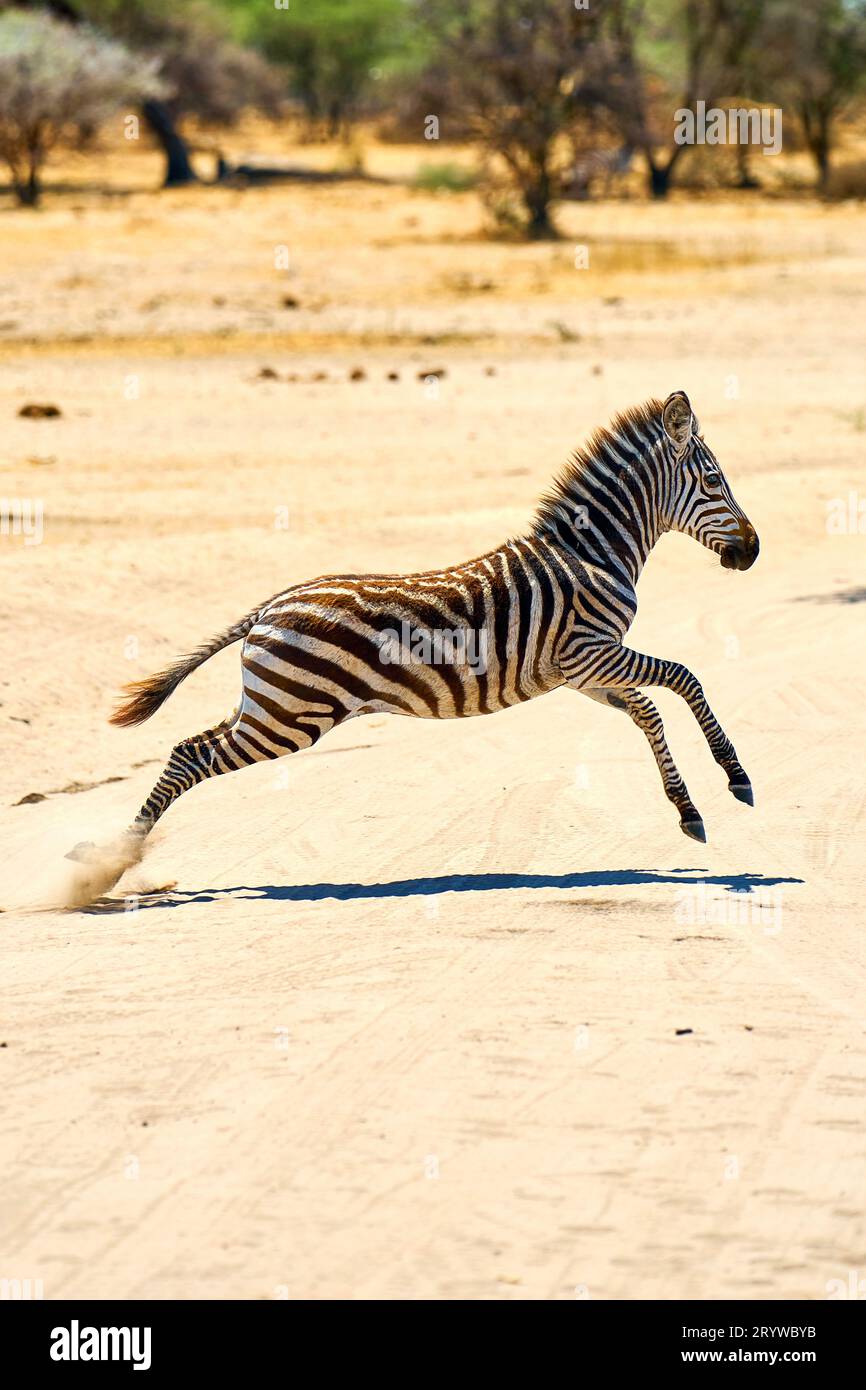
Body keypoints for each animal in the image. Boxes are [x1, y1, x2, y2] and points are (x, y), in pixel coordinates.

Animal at [74, 390, 758, 882]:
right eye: (714, 483)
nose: (752, 551)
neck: (590, 555)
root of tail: (270, 605)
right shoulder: (589, 652)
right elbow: (685, 680)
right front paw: (734, 776)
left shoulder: (580, 672)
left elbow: (647, 712)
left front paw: (688, 810)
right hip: (292, 716)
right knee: (190, 756)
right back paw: (115, 863)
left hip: (272, 706)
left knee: (188, 750)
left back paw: (111, 858)